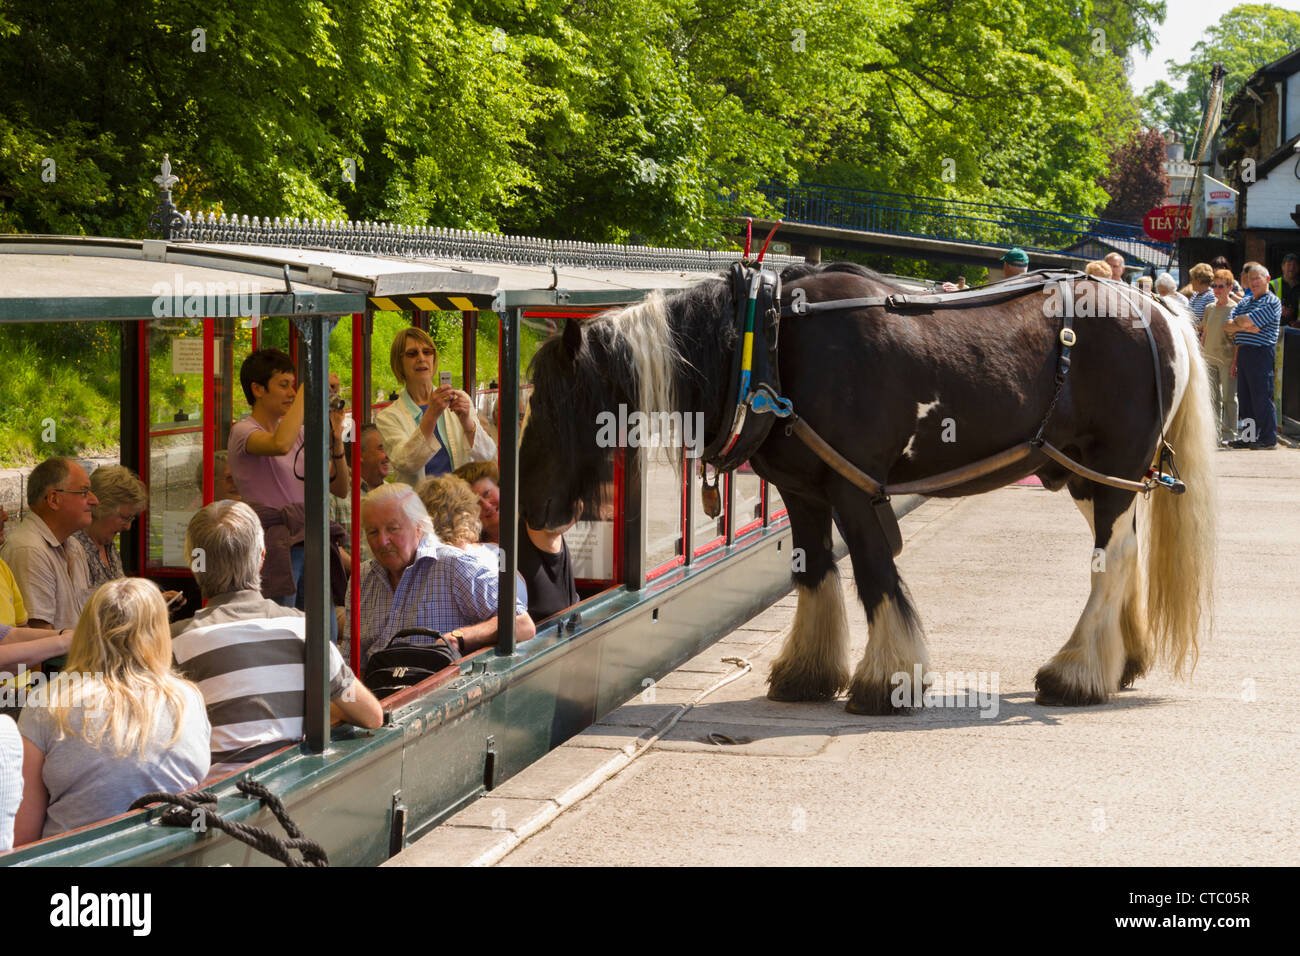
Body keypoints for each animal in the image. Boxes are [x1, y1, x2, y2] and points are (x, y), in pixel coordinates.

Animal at [519, 261, 1217, 713]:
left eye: (556, 405)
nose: (532, 510)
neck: (770, 345)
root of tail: (1157, 309)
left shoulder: (855, 490)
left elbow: (875, 575)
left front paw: (888, 680)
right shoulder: (802, 491)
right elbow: (813, 572)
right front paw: (807, 673)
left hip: (1112, 468)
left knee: (1111, 560)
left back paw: (1076, 674)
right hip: (1086, 476)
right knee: (1124, 555)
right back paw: (1120, 661)